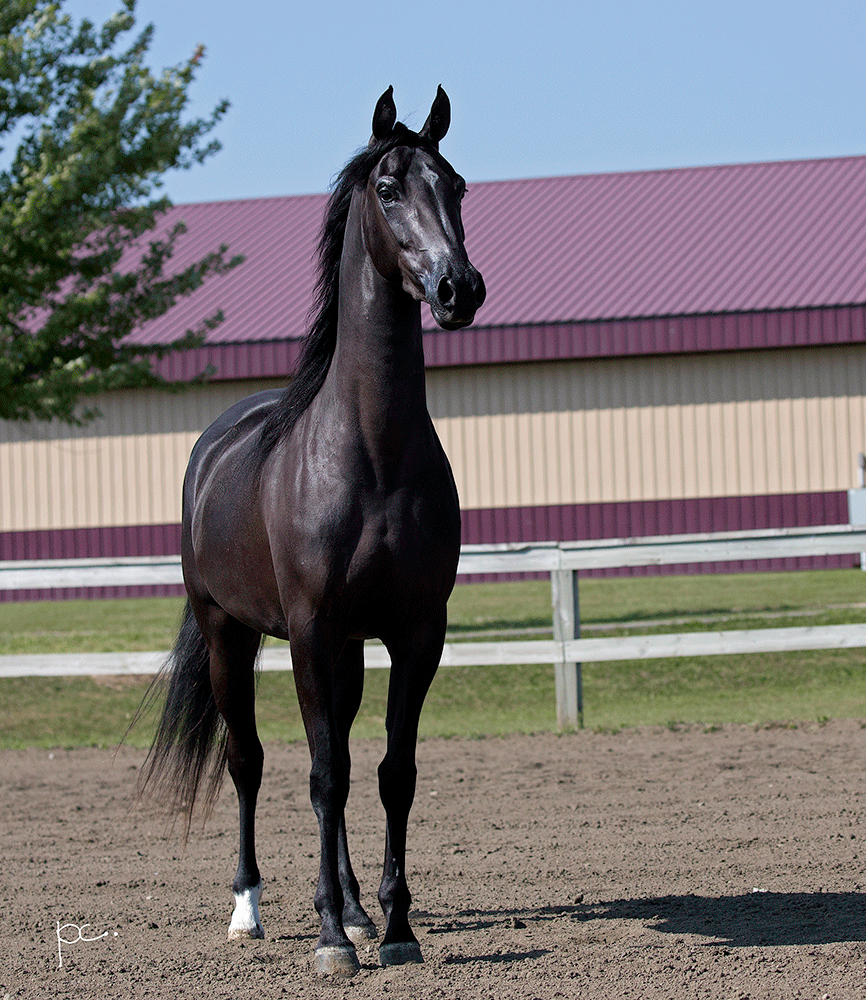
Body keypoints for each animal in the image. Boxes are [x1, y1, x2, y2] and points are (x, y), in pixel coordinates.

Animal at [137, 86, 485, 978]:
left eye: (457, 184)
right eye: (389, 188)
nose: (457, 288)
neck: (372, 454)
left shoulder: (415, 632)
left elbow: (392, 772)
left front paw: (393, 928)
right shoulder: (309, 630)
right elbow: (323, 776)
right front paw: (329, 939)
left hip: (349, 652)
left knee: (350, 761)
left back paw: (358, 909)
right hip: (229, 635)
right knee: (250, 762)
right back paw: (250, 909)